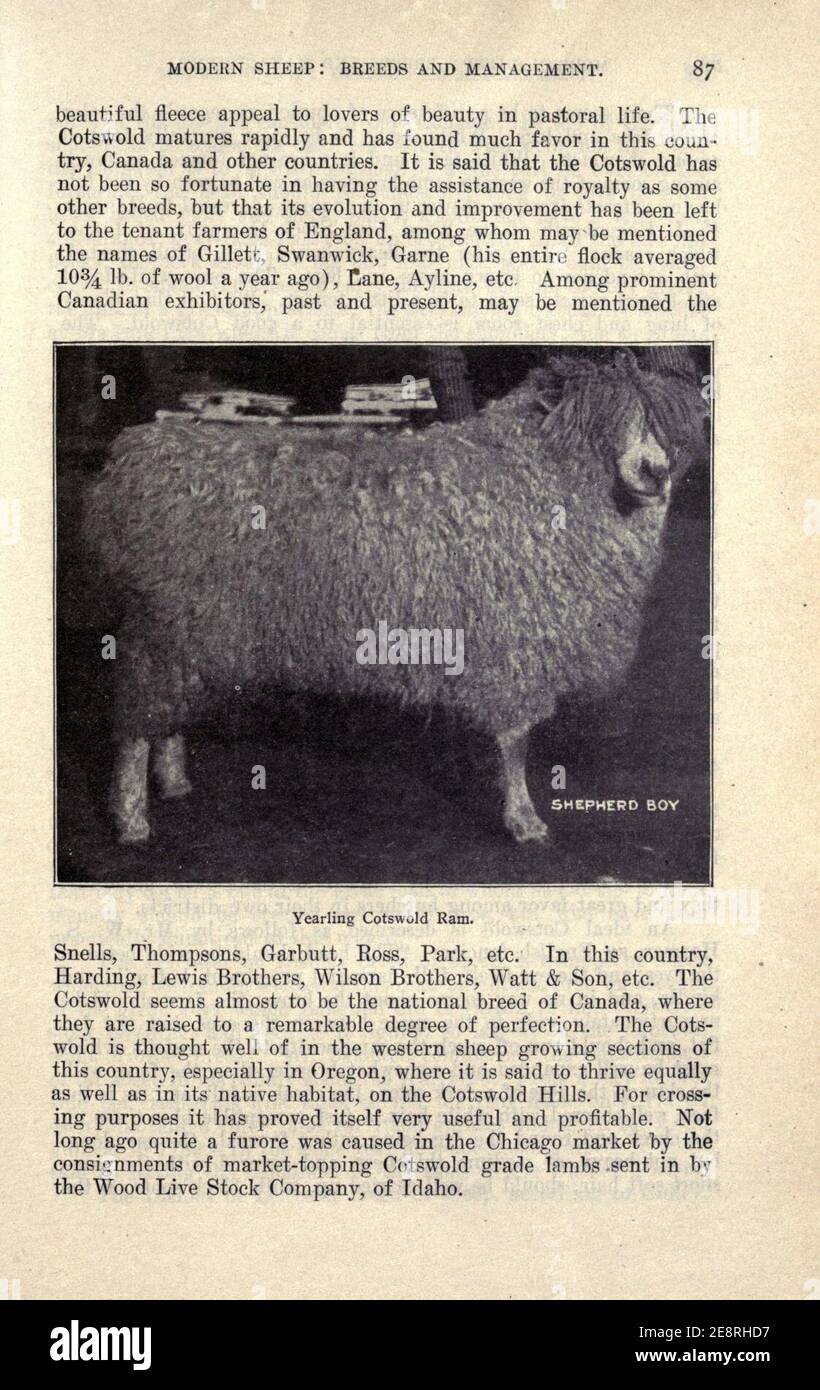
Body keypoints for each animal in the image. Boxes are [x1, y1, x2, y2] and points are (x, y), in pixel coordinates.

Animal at [84, 348, 706, 847]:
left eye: (664, 424)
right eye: (603, 423)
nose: (654, 472)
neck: (539, 480)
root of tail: (134, 456)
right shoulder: (512, 640)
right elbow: (516, 742)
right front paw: (524, 820)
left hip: (185, 627)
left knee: (163, 714)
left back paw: (173, 781)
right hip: (163, 623)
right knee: (136, 723)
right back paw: (132, 819)